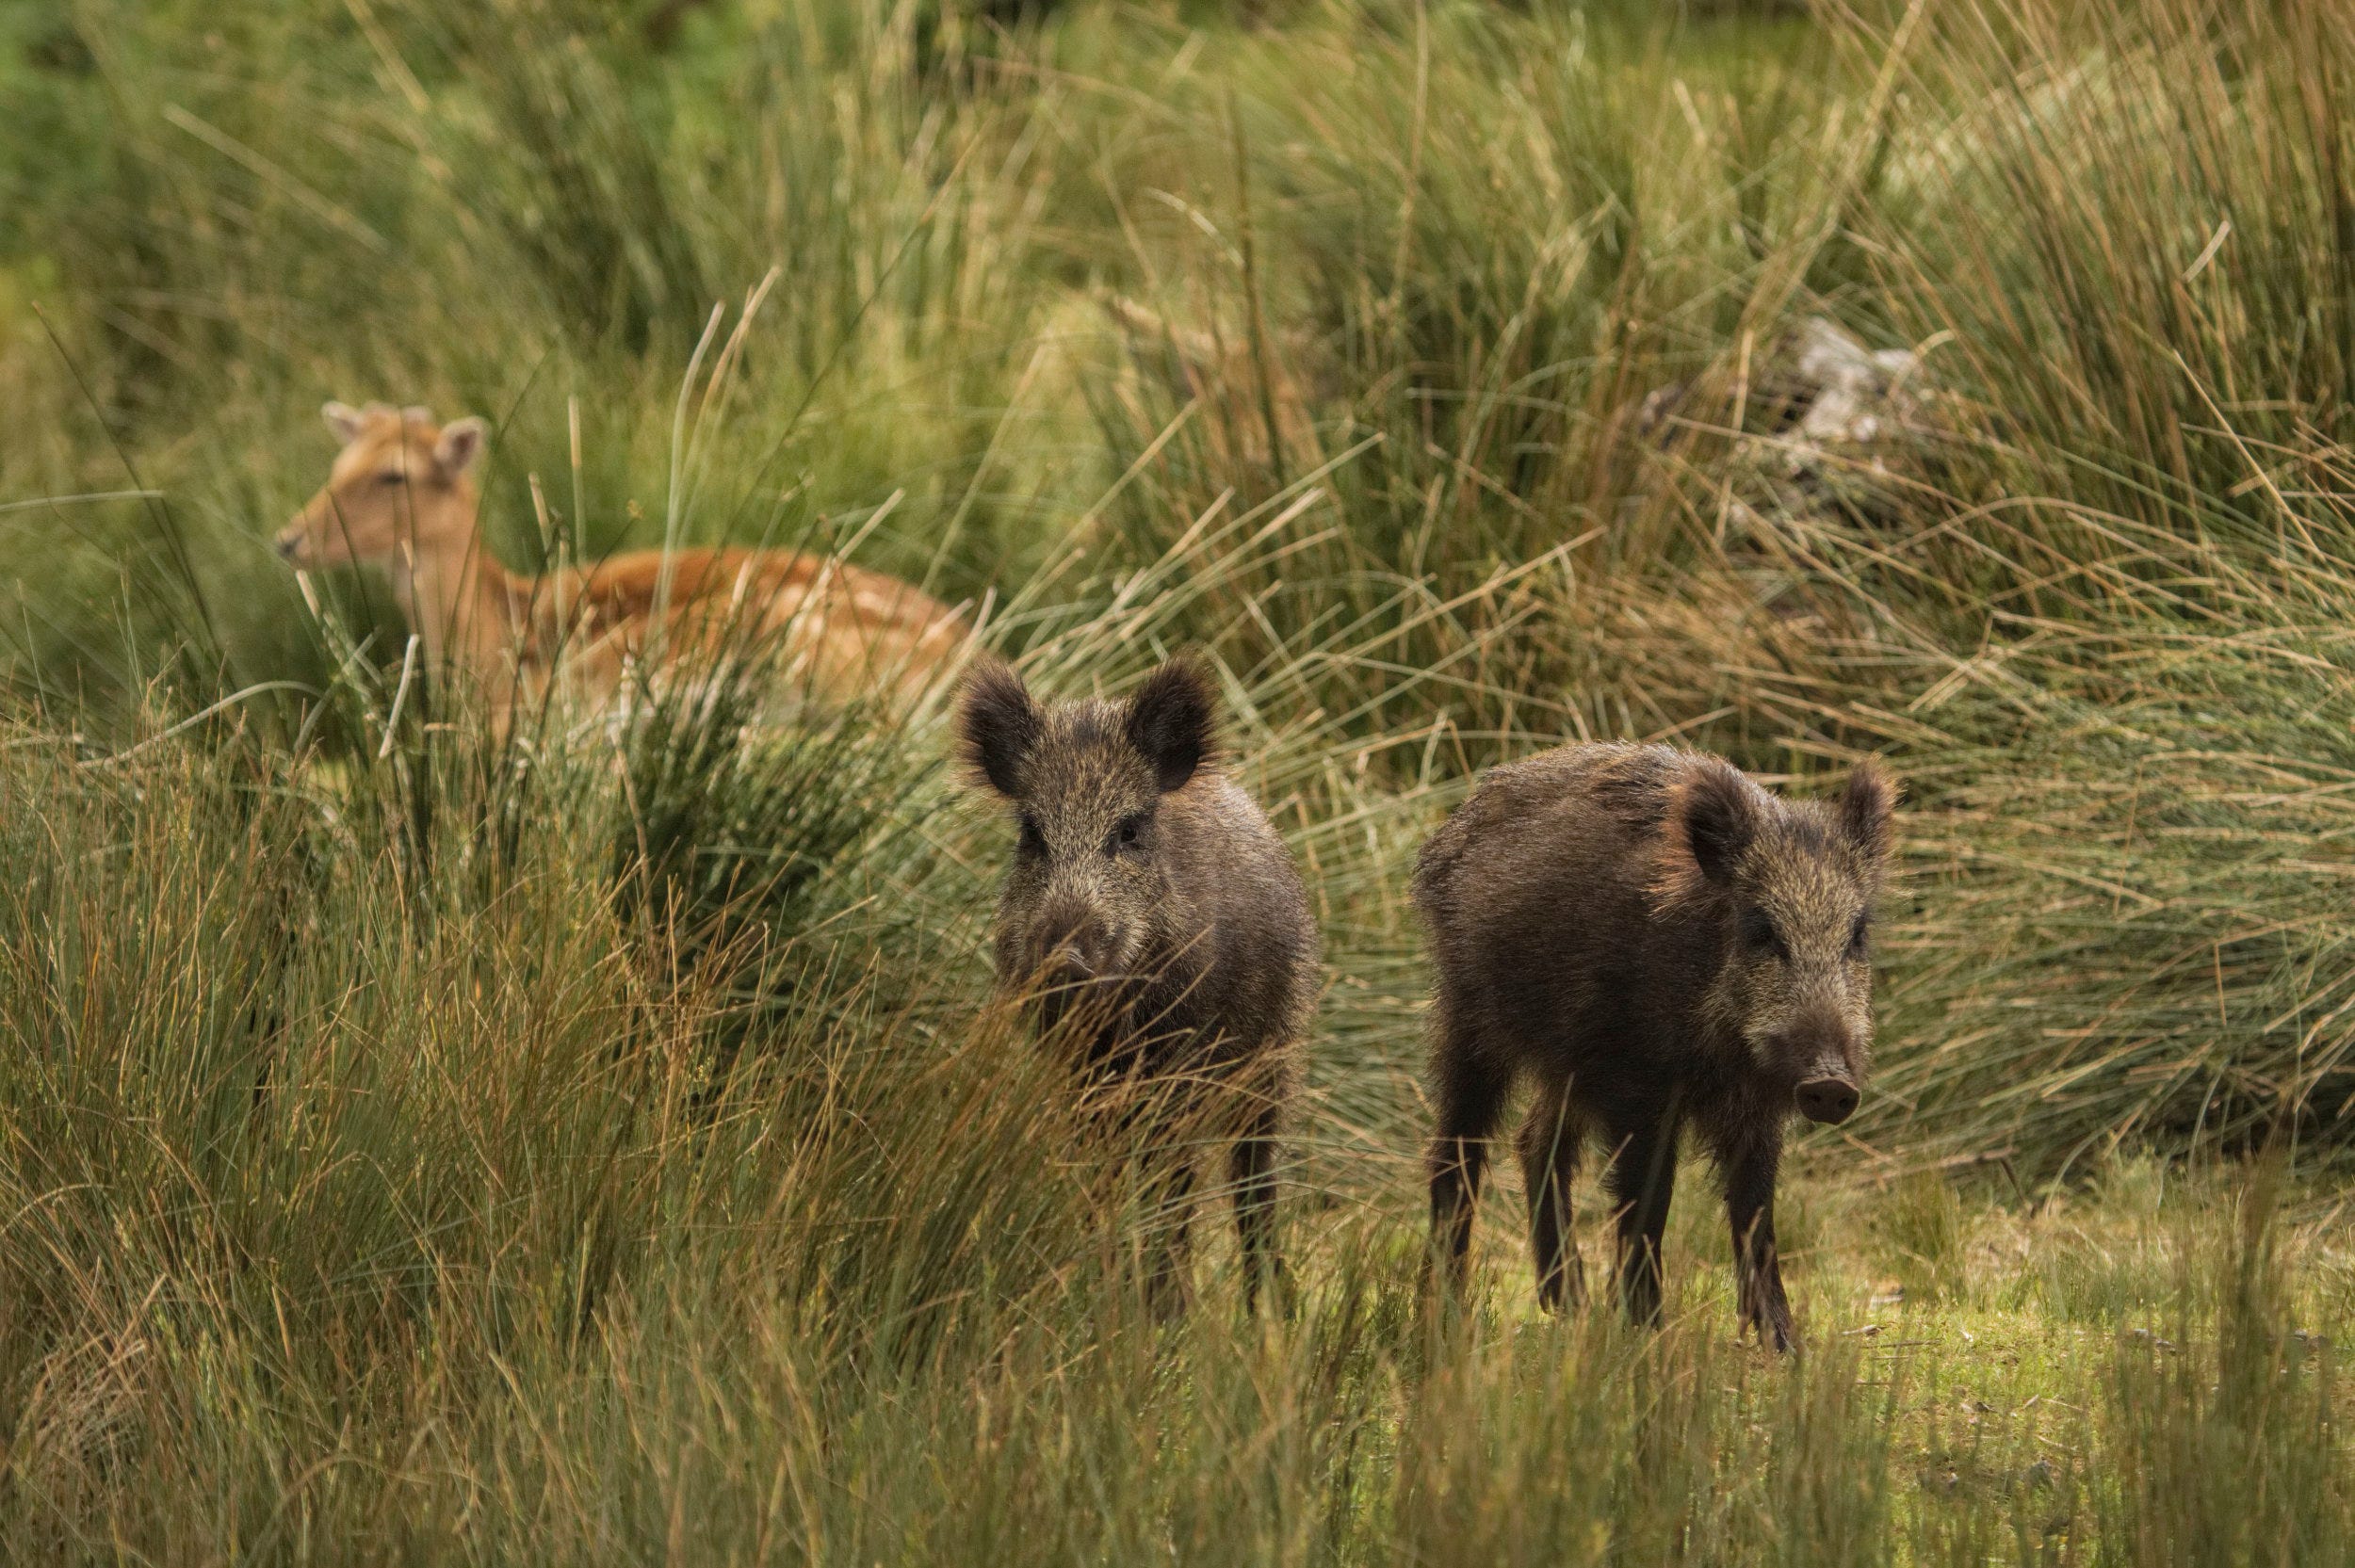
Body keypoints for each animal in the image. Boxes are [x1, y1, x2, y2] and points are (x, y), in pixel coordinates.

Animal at [957, 654, 1320, 1314]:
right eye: (1031, 832)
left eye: (1128, 831)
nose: (1068, 961)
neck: (1115, 1028)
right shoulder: (1072, 1080)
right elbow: (1096, 1188)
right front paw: (1101, 1296)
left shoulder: (1183, 1070)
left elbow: (1171, 1191)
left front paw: (1163, 1315)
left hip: (1274, 1055)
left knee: (1252, 1183)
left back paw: (1266, 1313)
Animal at [1414, 742, 1896, 1350]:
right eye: (1761, 930)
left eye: (1856, 935)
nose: (1831, 1082)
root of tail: (1451, 832)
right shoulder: (1636, 1084)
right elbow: (1649, 1201)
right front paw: (1648, 1340)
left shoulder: (1758, 1111)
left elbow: (1757, 1209)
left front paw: (1786, 1349)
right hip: (1469, 1015)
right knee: (1458, 1151)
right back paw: (1446, 1316)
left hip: (1565, 1063)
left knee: (1536, 1139)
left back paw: (1570, 1307)